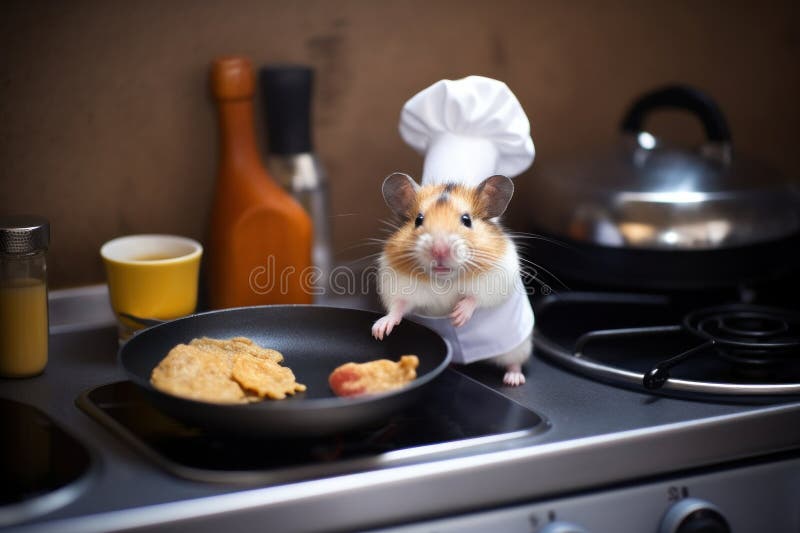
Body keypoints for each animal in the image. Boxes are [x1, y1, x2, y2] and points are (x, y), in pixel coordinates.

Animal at [371, 172, 533, 386]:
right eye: (418, 220)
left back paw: (513, 380)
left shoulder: (496, 279)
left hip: (518, 346)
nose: (439, 250)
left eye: (466, 220)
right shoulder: (398, 286)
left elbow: (475, 298)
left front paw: (457, 317)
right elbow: (398, 307)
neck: (444, 279)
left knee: (514, 362)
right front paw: (379, 331)